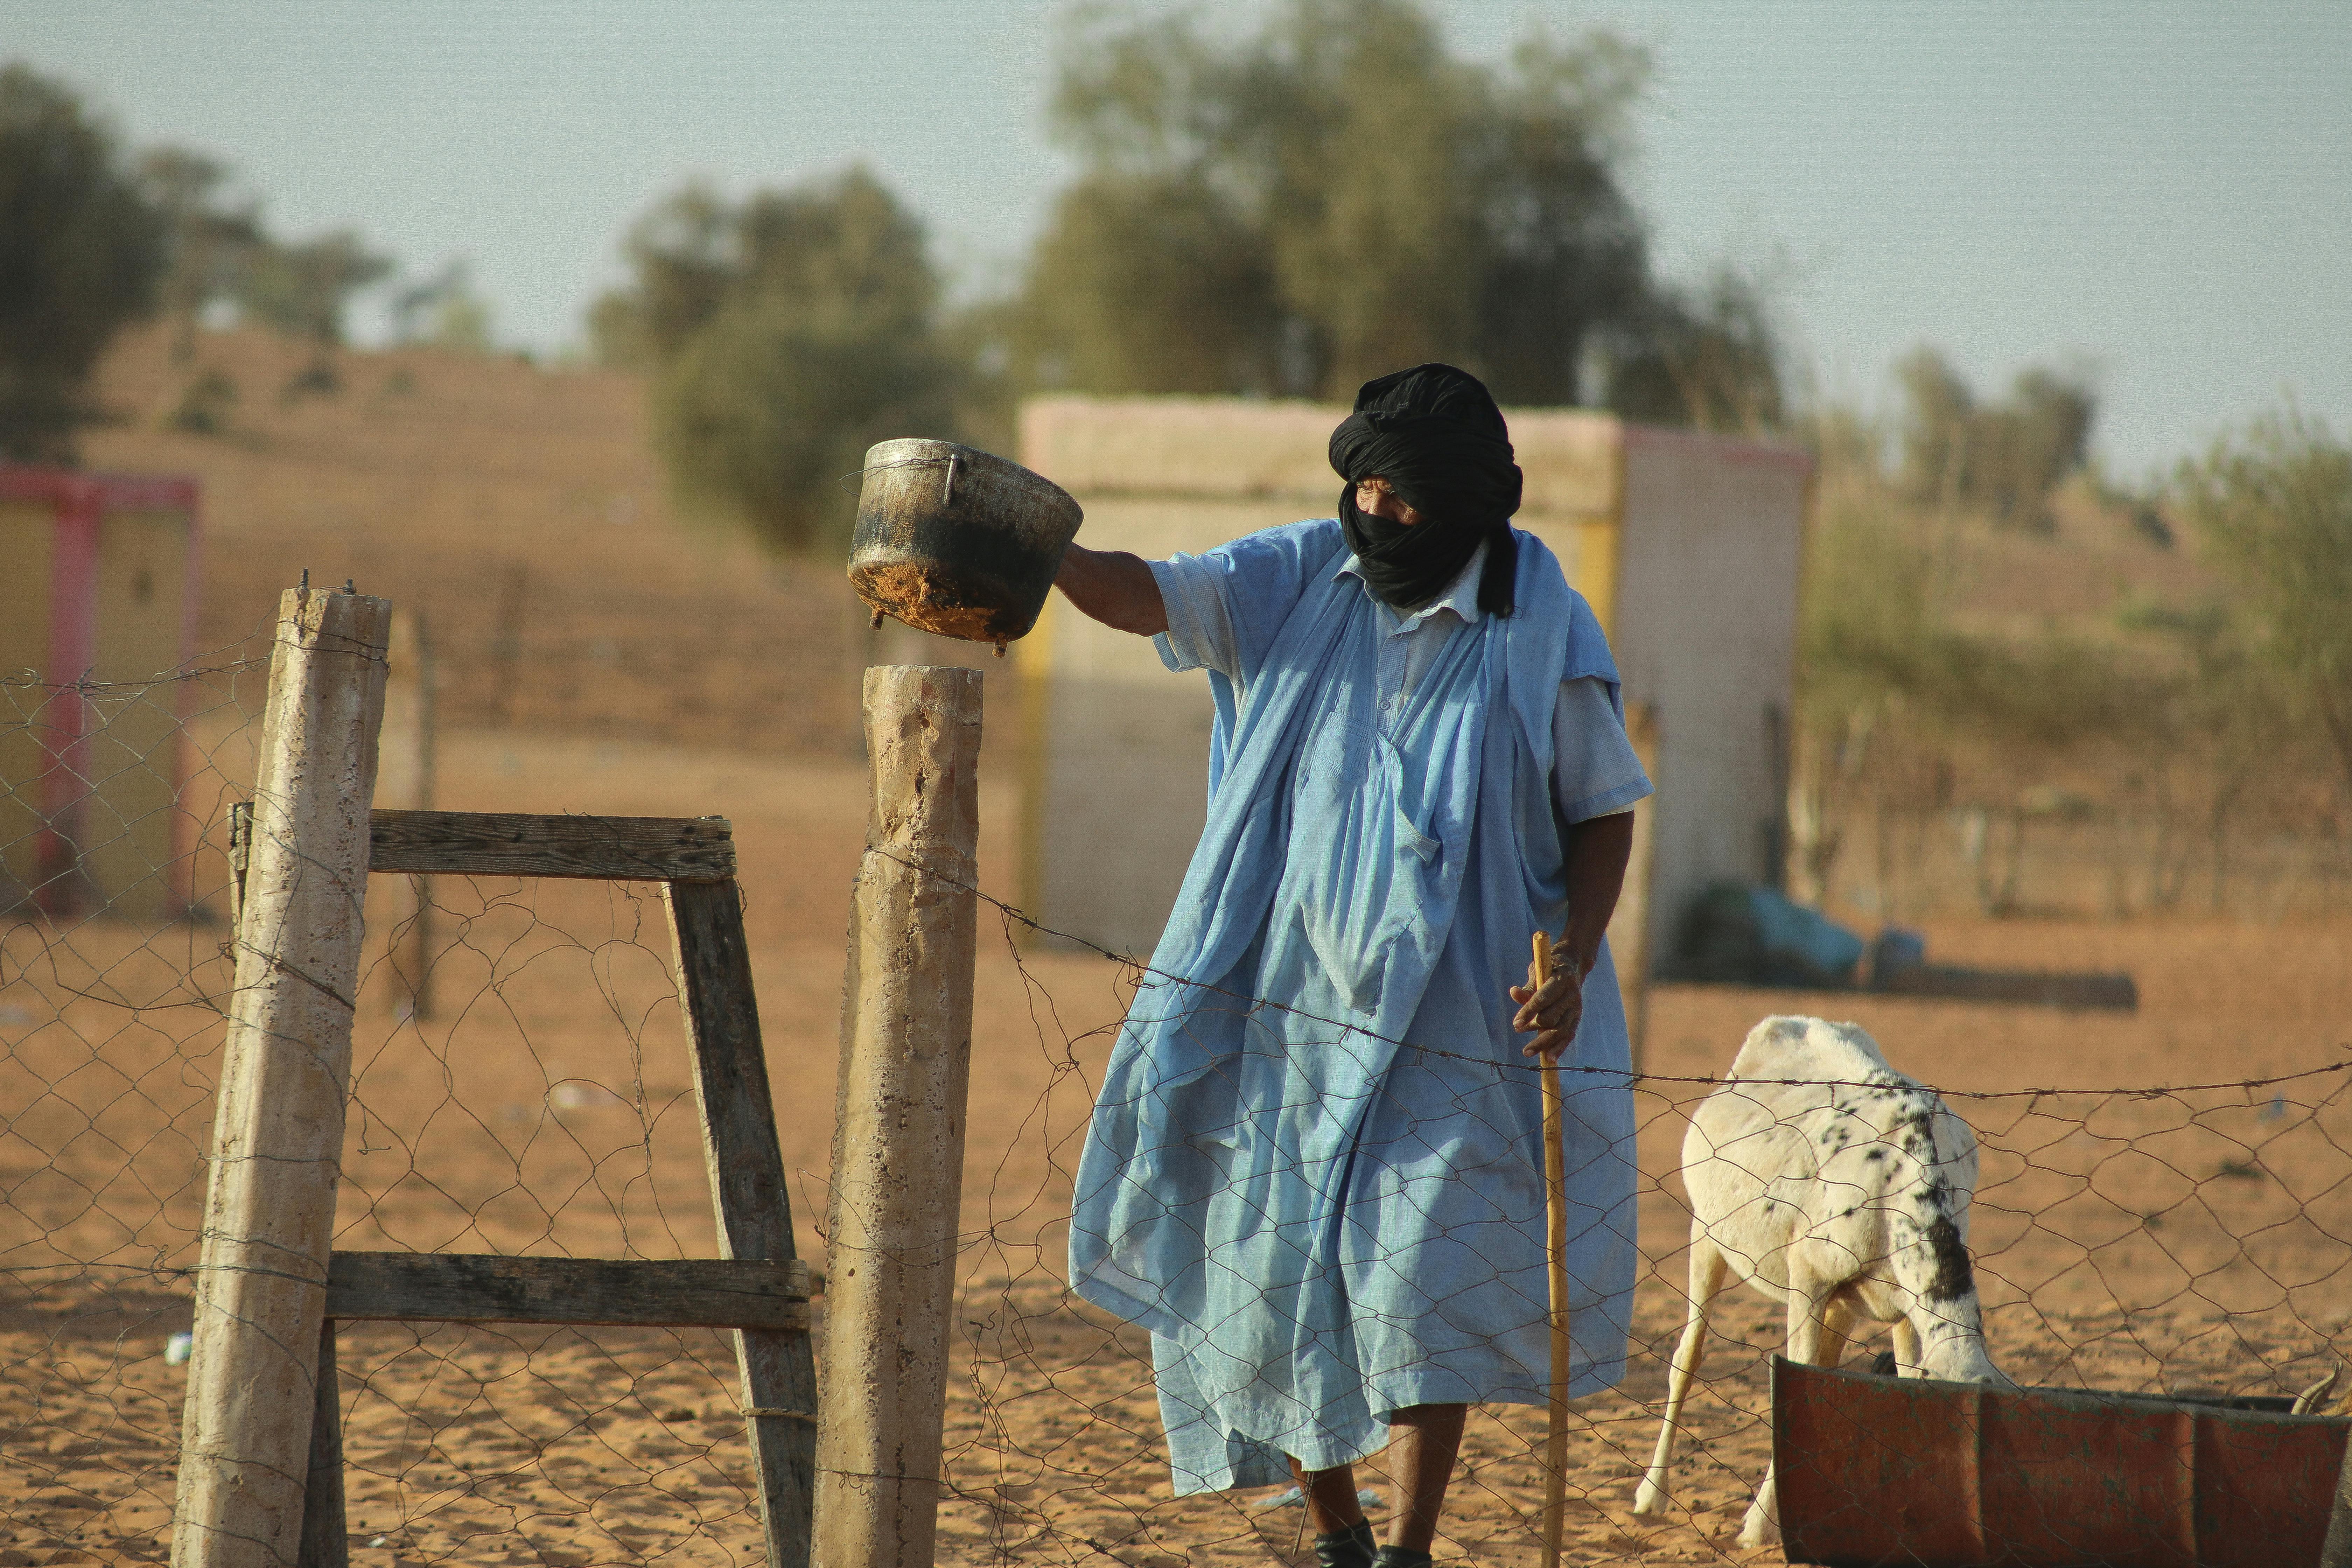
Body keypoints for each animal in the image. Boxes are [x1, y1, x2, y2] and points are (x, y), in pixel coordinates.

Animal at [1630, 1014, 2011, 1549]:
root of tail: (1797, 1021)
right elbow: (1795, 1379)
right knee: (1688, 1355)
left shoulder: (1900, 1302)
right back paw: (1651, 1495)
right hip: (1706, 1231)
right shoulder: (1807, 1272)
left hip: (1850, 1299)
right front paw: (1758, 1529)